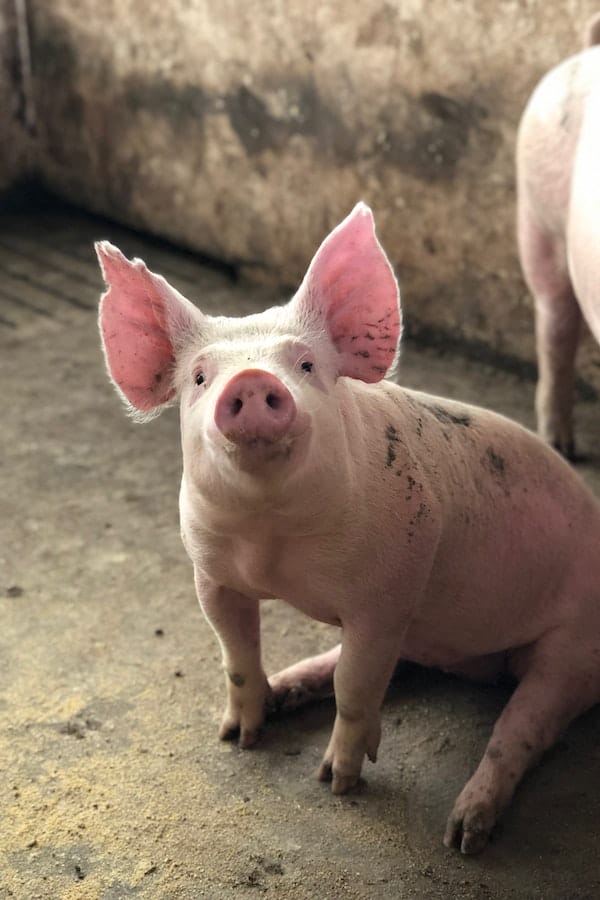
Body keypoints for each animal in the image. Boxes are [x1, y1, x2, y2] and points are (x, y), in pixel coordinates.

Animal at [97, 203, 600, 855]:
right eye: (201, 378)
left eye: (308, 365)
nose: (251, 381)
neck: (273, 541)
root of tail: (478, 664)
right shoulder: (210, 573)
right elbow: (236, 651)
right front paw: (237, 737)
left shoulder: (389, 589)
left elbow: (356, 686)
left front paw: (335, 783)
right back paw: (285, 691)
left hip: (575, 645)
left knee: (521, 727)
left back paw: (463, 834)